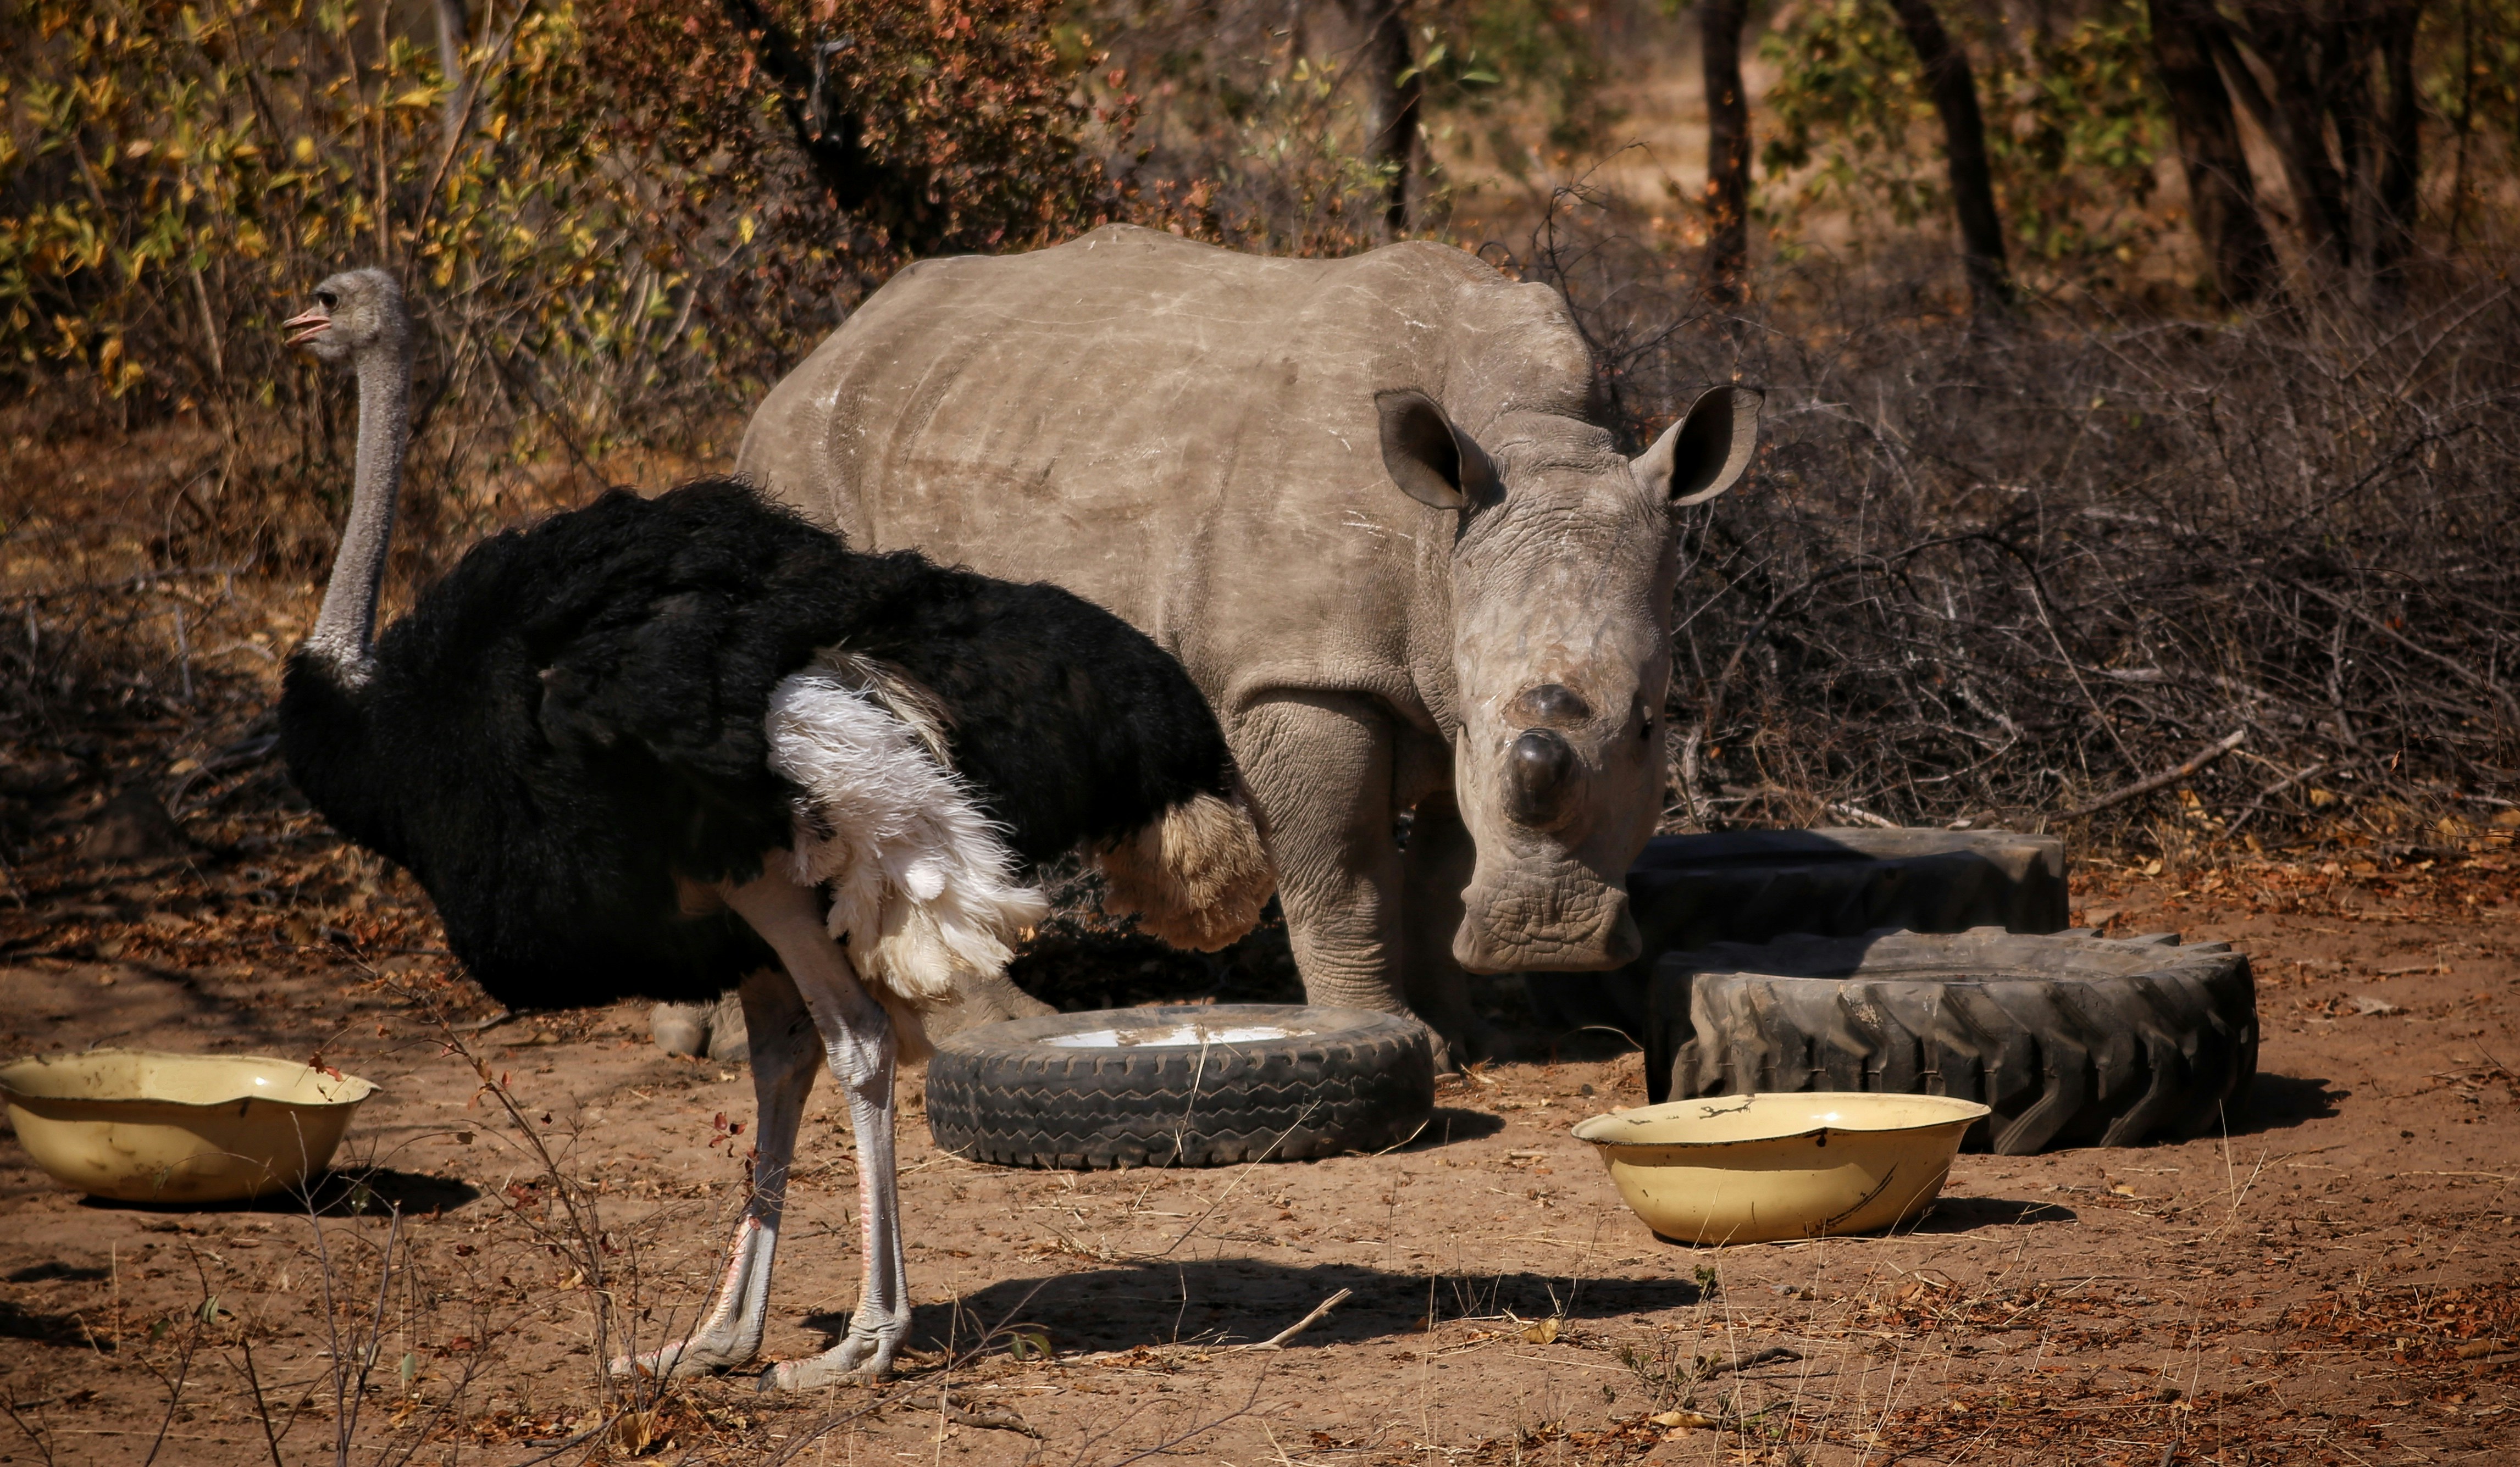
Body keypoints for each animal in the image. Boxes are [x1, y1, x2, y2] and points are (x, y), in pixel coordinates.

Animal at [738, 225, 1759, 1060]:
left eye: (1649, 726)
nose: (1548, 938)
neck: (1532, 439)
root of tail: (818, 354)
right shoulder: (1299, 676)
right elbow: (1340, 872)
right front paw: (1396, 1040)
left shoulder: (1434, 672)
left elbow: (1442, 874)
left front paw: (1473, 1039)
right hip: (809, 463)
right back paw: (998, 1032)